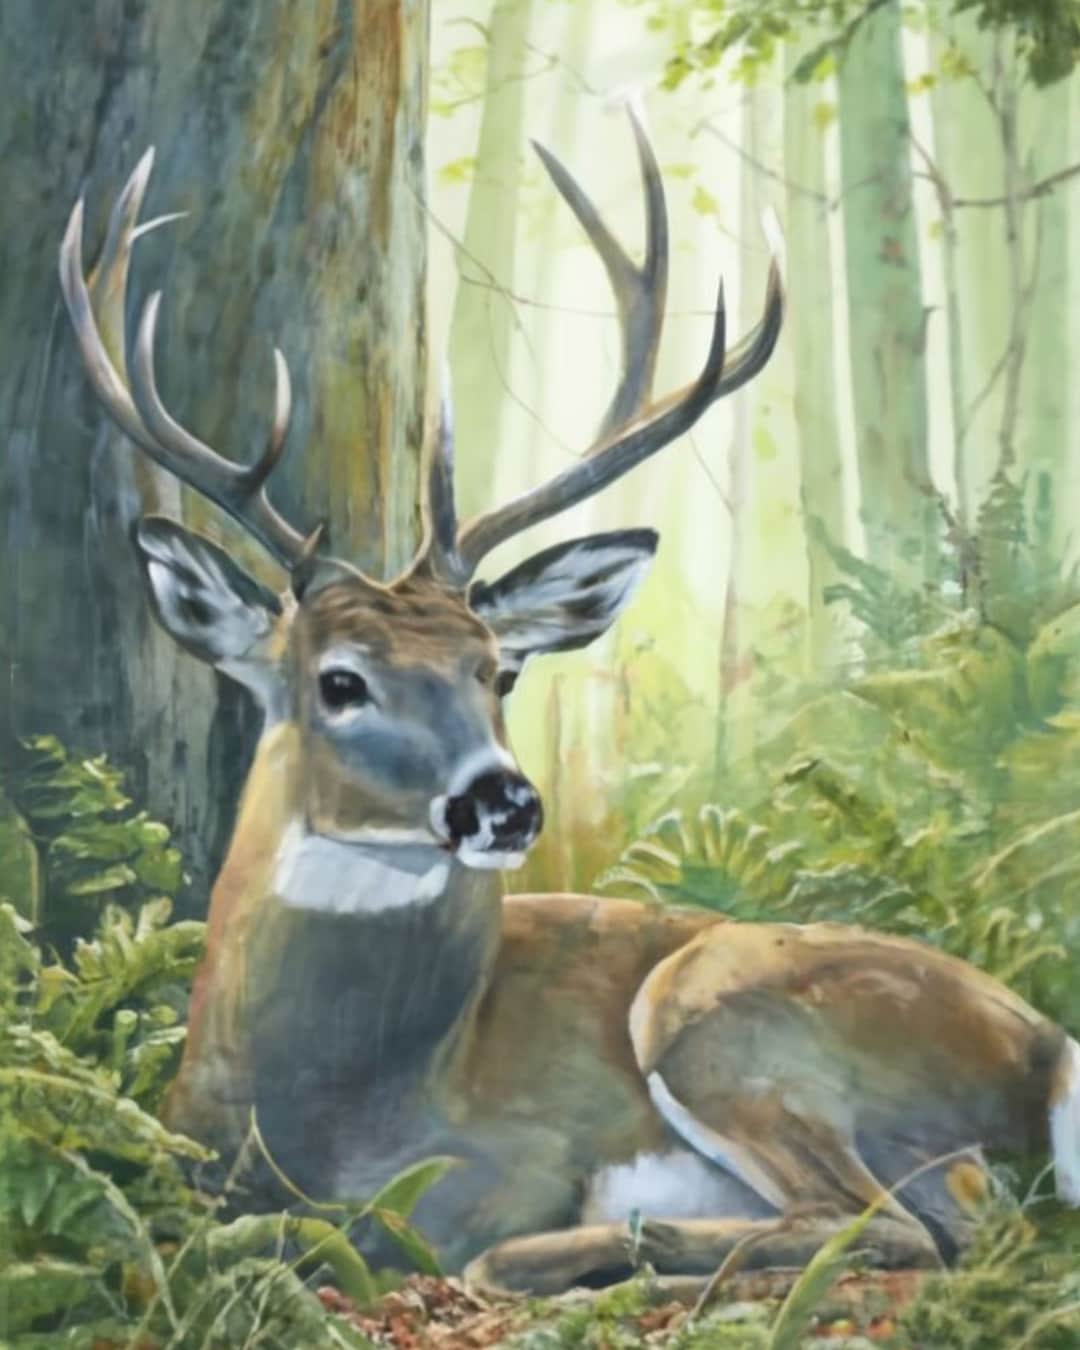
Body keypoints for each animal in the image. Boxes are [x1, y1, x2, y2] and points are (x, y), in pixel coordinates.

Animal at [58, 109, 1080, 1297]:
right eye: (339, 680)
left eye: (498, 670)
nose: (504, 803)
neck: (323, 1110)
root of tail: (1050, 1049)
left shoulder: (511, 1160)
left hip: (717, 1010)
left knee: (889, 1224)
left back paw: (607, 1249)